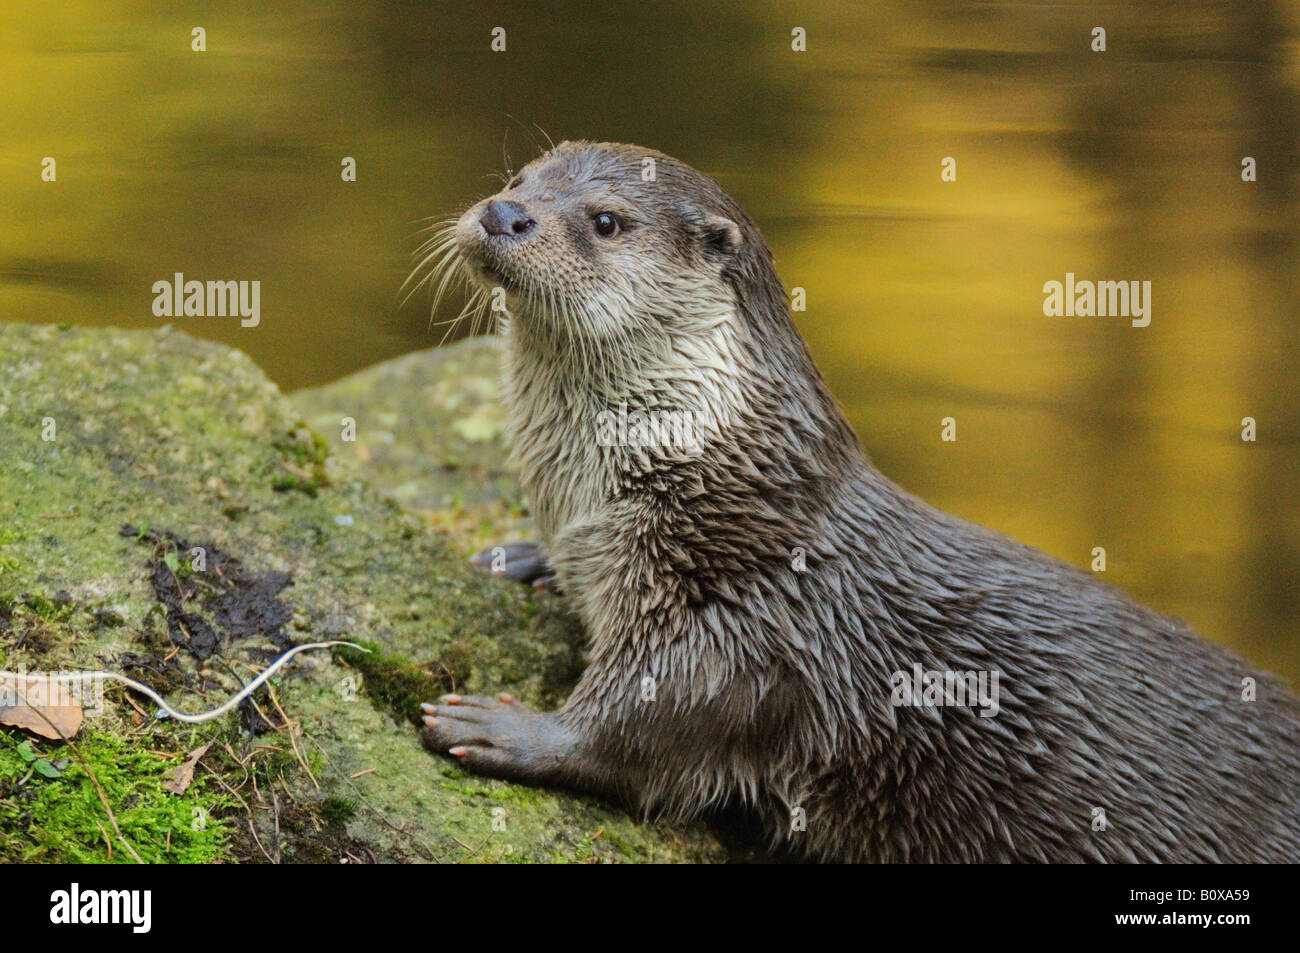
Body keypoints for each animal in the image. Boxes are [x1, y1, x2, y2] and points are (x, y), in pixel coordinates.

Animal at [418, 140, 1300, 862]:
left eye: (606, 221)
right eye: (519, 178)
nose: (505, 212)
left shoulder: (740, 603)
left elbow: (648, 720)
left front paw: (509, 727)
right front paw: (525, 559)